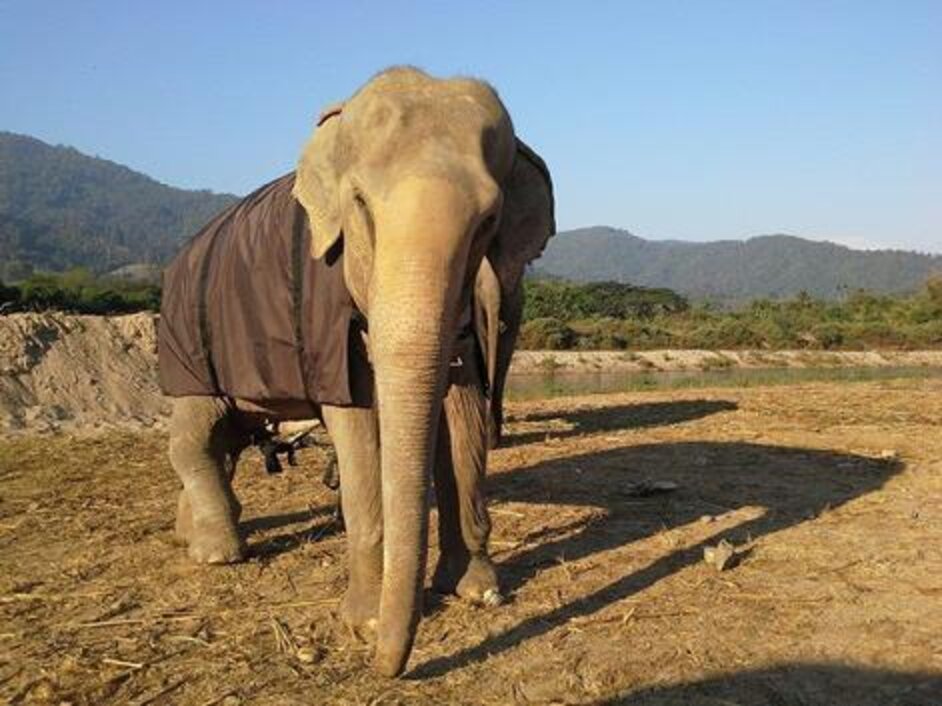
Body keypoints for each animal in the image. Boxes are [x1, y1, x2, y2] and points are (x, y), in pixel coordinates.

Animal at [158, 67, 555, 677]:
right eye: (362, 203)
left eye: (488, 222)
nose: (385, 667)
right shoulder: (332, 332)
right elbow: (360, 429)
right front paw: (365, 621)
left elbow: (460, 415)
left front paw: (477, 591)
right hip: (187, 347)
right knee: (193, 432)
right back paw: (219, 554)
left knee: (223, 438)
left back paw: (194, 535)